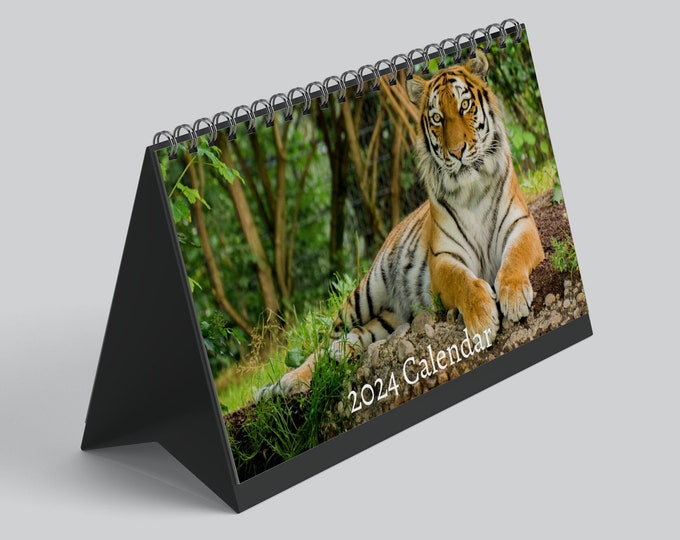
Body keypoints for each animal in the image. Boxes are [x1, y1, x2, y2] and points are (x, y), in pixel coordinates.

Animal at [254, 49, 544, 401]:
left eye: (465, 106)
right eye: (437, 118)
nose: (457, 152)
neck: (471, 188)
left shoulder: (521, 225)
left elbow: (513, 260)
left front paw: (513, 298)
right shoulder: (442, 259)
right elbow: (464, 283)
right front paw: (482, 320)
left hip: (389, 319)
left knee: (353, 339)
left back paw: (328, 361)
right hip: (362, 296)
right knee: (322, 344)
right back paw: (287, 382)